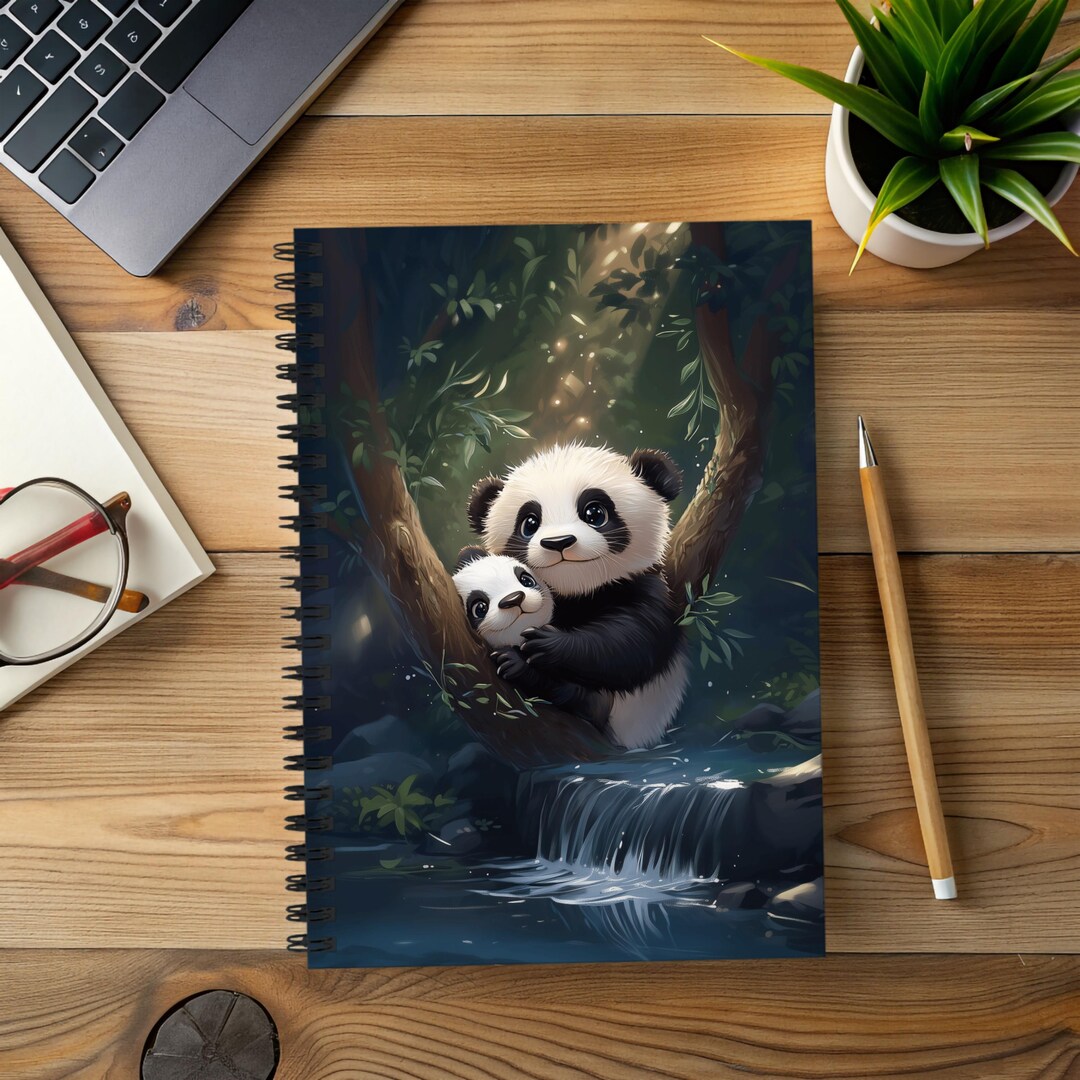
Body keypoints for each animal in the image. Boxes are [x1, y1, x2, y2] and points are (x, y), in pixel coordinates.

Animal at [452, 546, 612, 728]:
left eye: (526, 580)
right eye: (479, 607)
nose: (514, 598)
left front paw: (519, 659)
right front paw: (513, 660)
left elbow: (593, 701)